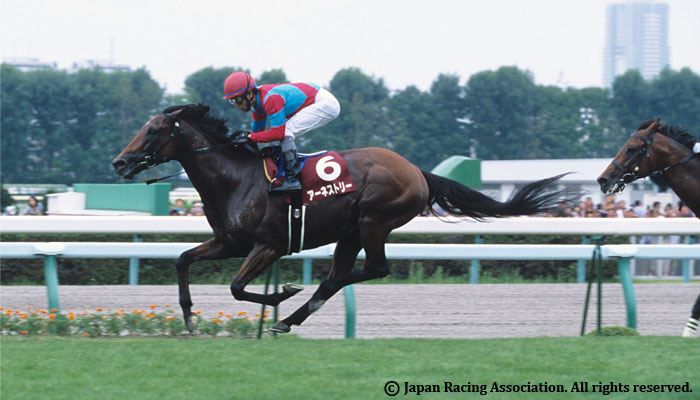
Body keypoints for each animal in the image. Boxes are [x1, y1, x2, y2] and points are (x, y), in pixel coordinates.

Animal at [112, 103, 573, 334]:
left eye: (153, 130)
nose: (120, 162)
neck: (237, 178)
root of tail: (416, 171)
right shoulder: (230, 243)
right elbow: (183, 259)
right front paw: (189, 317)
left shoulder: (269, 245)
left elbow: (237, 288)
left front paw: (281, 294)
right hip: (350, 231)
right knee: (341, 276)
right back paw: (290, 319)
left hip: (374, 221)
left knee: (372, 270)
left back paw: (295, 307)